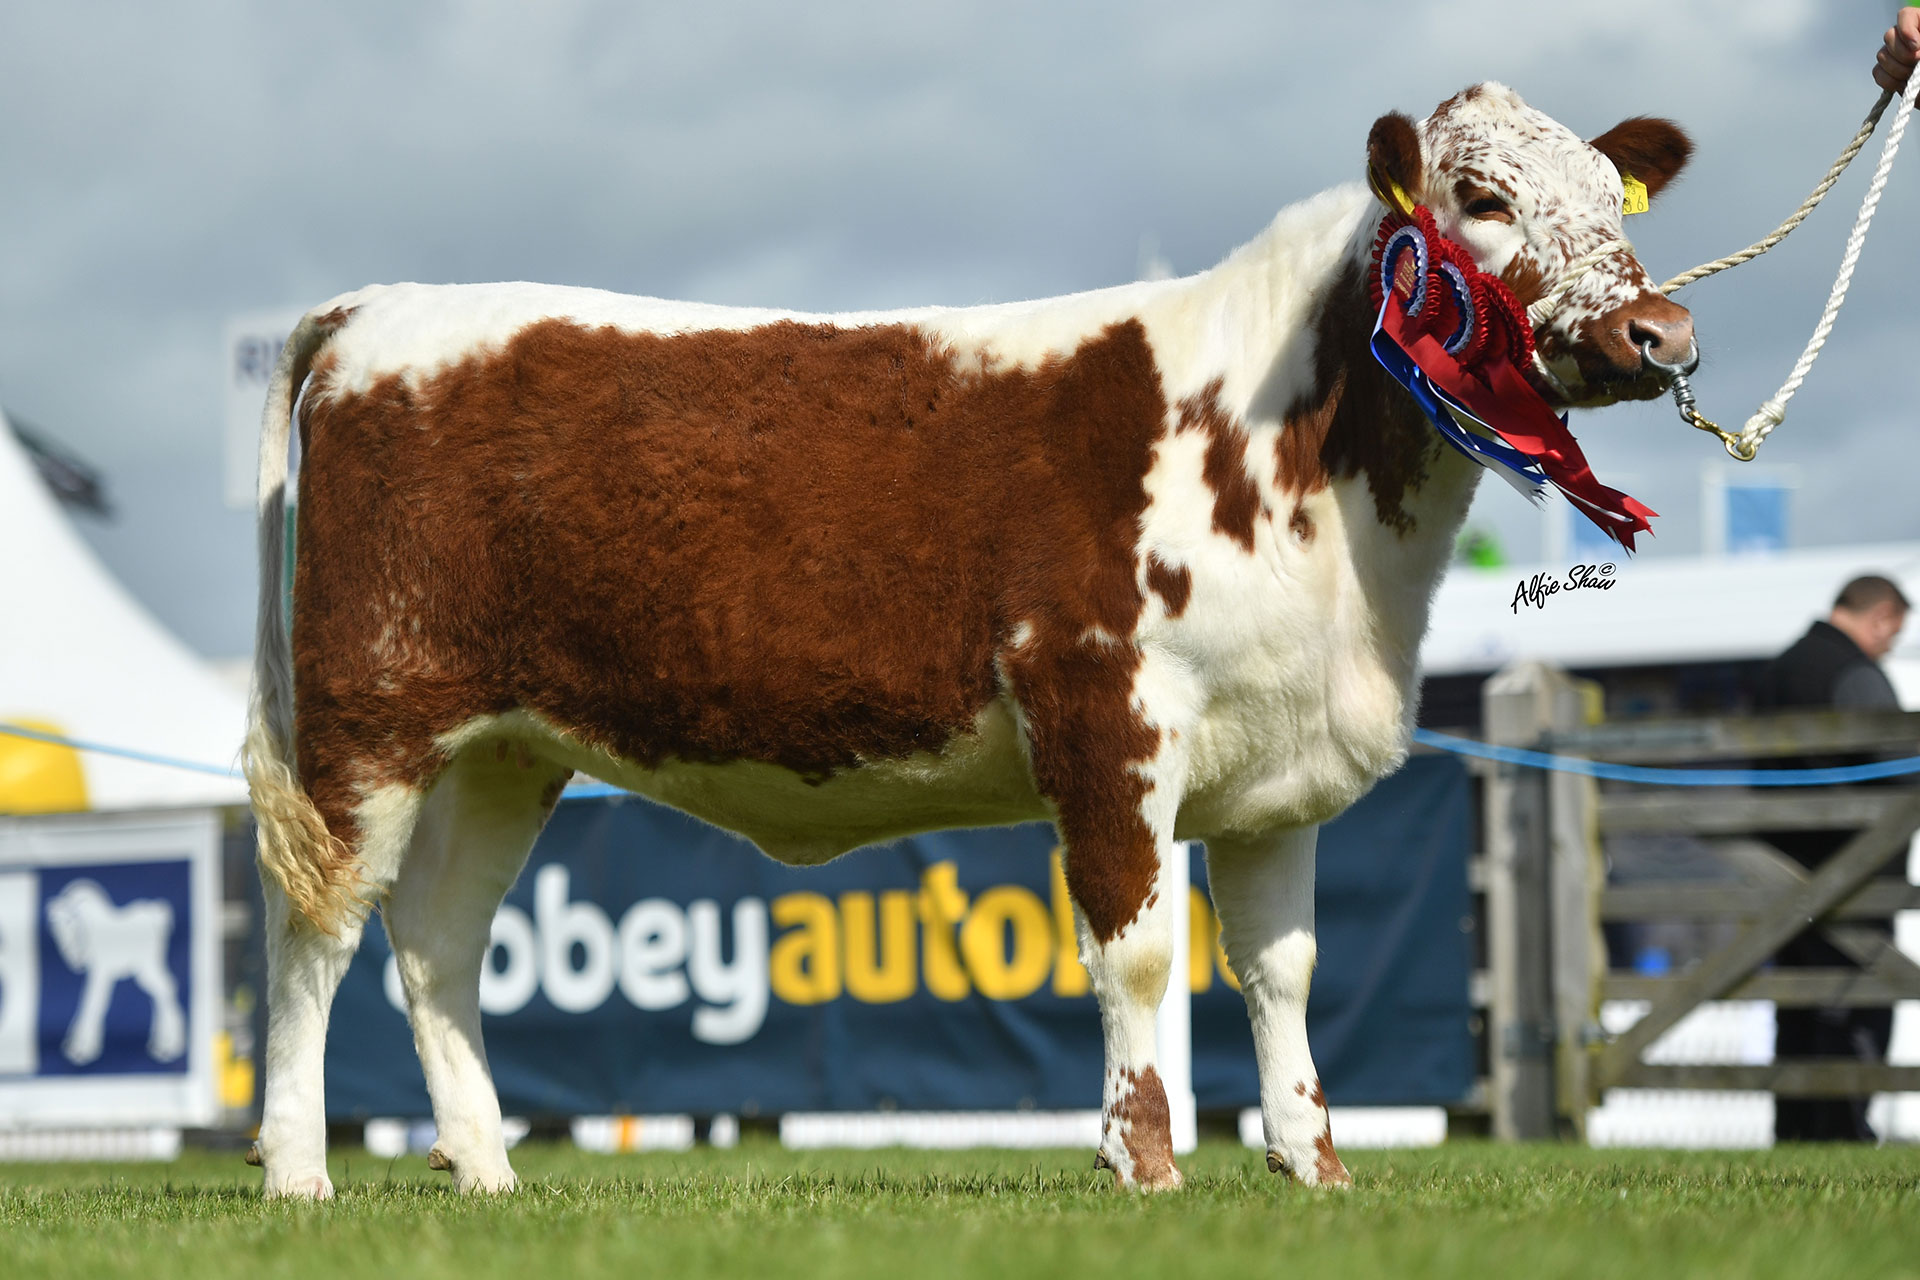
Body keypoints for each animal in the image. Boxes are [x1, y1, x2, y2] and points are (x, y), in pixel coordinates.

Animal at [242, 82, 1694, 1199]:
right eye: (1482, 196)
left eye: (1615, 199)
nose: (1659, 330)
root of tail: (374, 310)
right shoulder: (1103, 708)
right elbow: (1140, 948)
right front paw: (1144, 1163)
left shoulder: (1280, 761)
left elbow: (1281, 968)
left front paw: (1313, 1164)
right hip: (367, 714)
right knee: (316, 927)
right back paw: (299, 1171)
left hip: (504, 746)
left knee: (436, 939)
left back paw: (487, 1170)